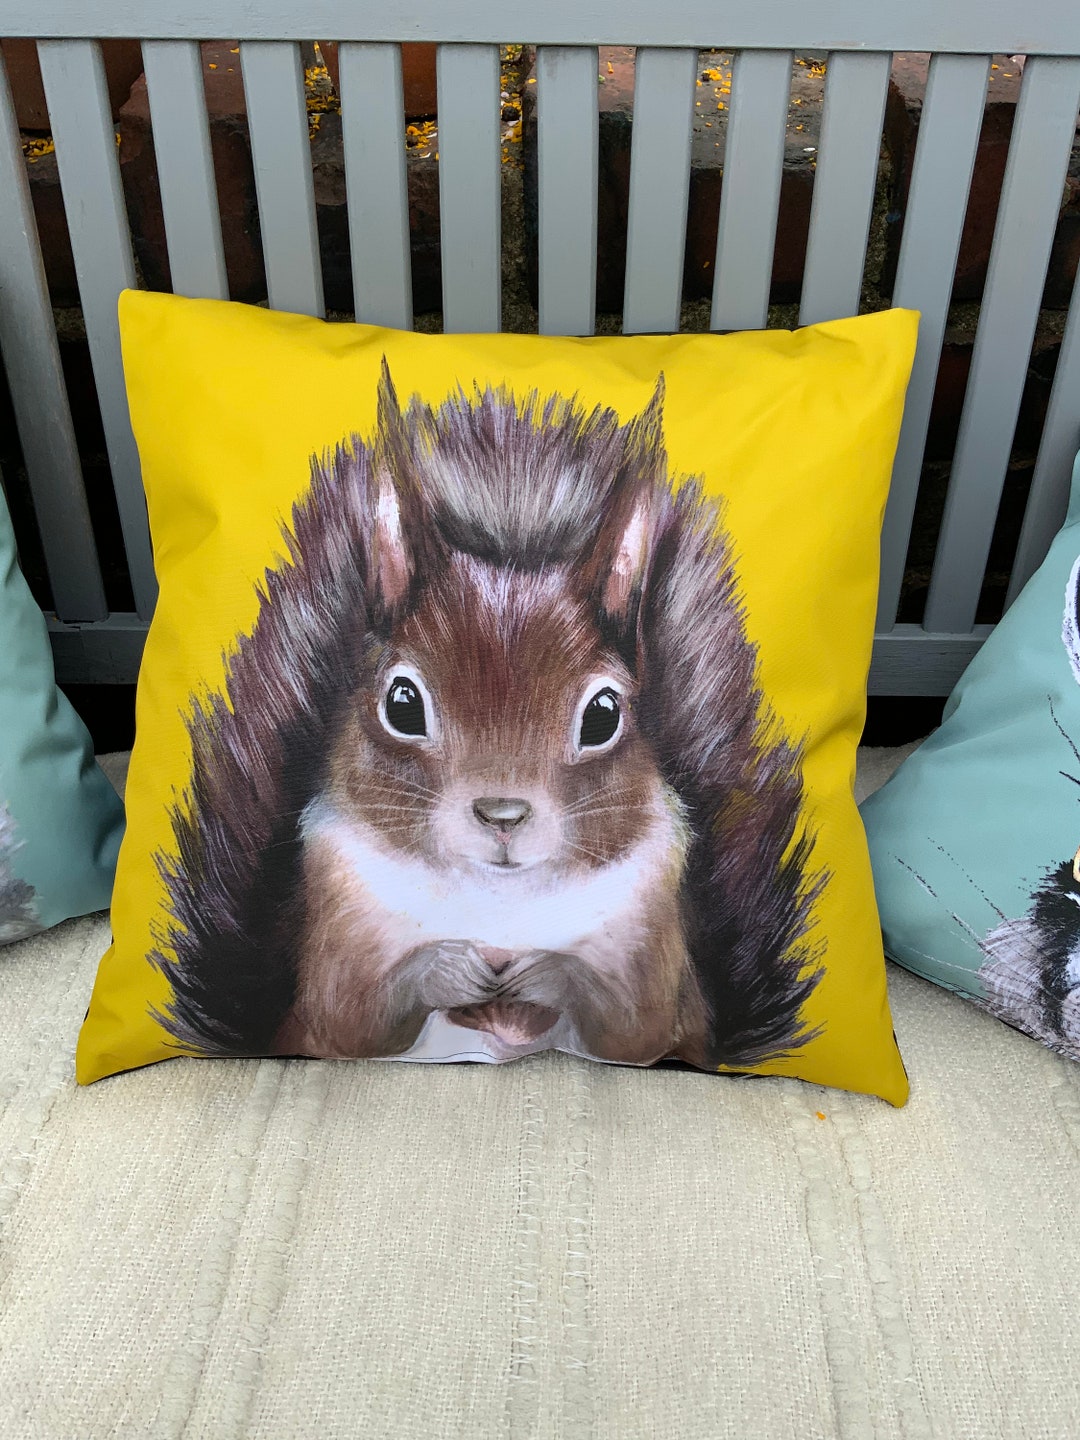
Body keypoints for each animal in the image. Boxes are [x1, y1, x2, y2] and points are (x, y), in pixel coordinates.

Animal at [151, 363, 825, 1070]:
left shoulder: (650, 938)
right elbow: (352, 1022)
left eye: (604, 714)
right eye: (401, 703)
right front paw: (448, 967)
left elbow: (633, 1029)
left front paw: (547, 972)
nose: (503, 815)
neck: (499, 902)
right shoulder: (340, 922)